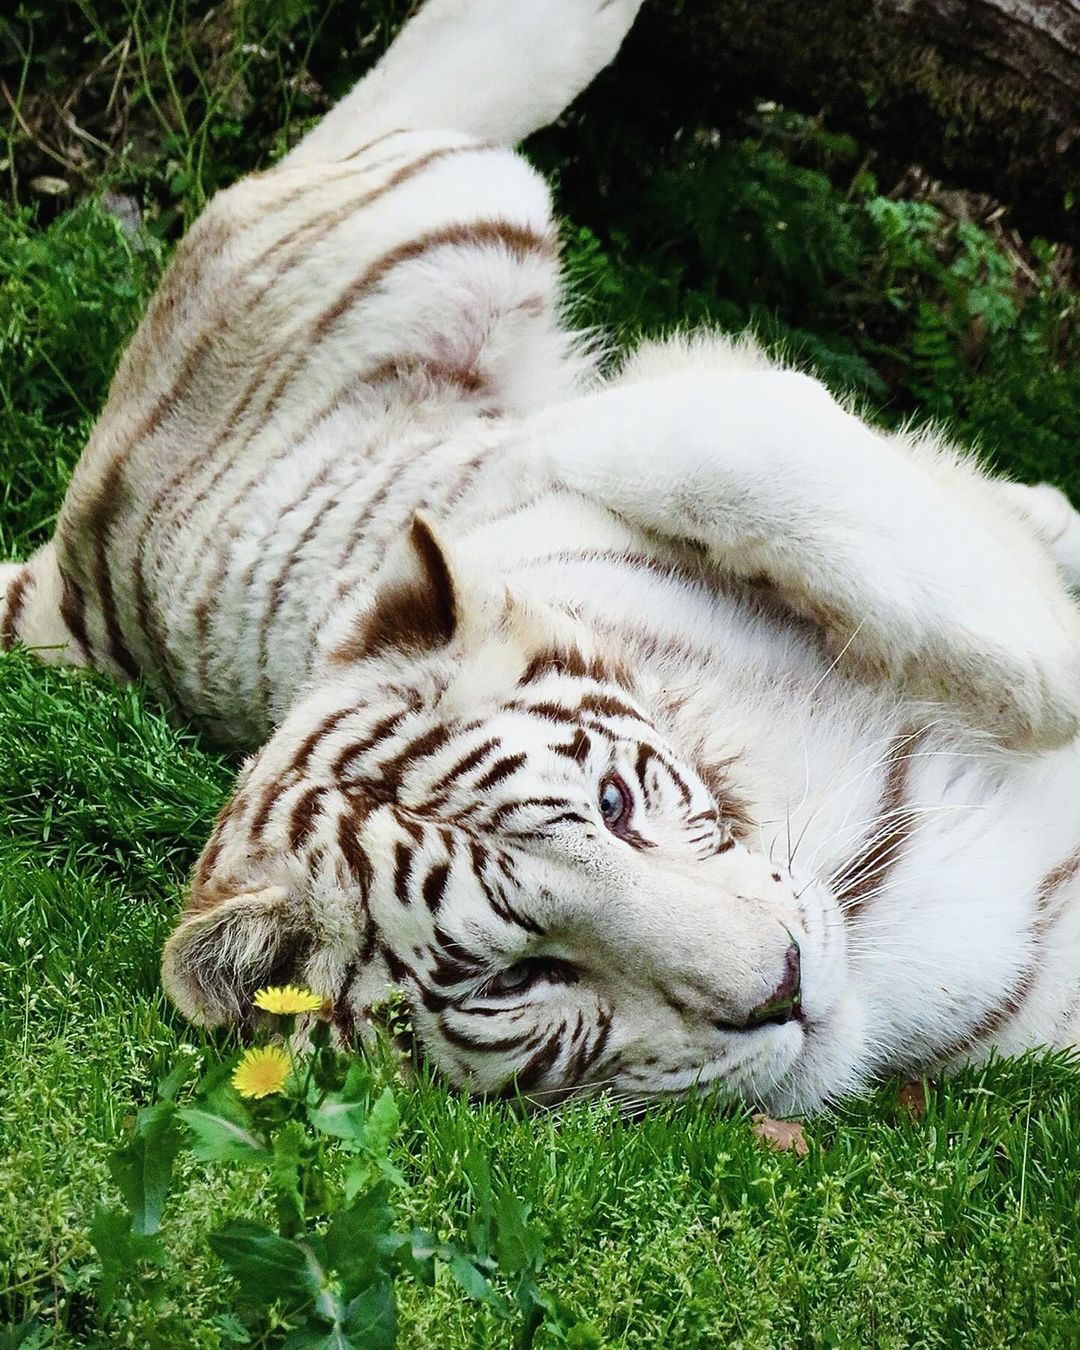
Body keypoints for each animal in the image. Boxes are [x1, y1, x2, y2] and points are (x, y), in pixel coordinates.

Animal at [4, 0, 1080, 1114]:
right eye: (519, 978)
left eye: (614, 804)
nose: (782, 986)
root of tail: (70, 567)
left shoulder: (577, 461)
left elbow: (740, 448)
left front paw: (1048, 666)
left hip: (469, 220)